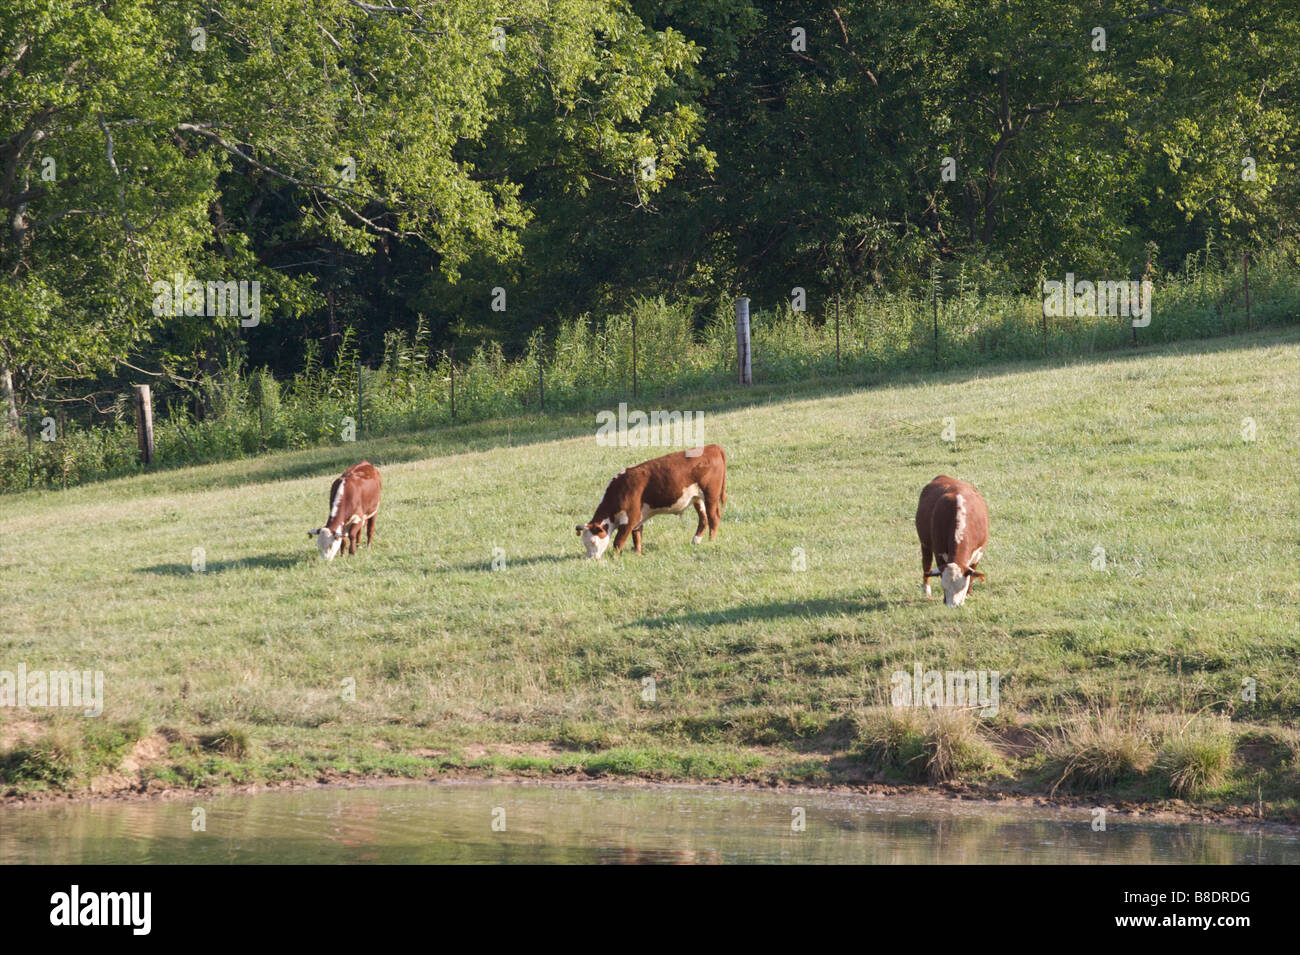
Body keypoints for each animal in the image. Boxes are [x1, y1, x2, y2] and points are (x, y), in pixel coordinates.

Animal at [576, 445, 727, 559]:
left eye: (593, 541)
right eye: (584, 542)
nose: (590, 559)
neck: (620, 489)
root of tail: (712, 447)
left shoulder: (630, 518)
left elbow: (618, 541)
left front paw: (614, 557)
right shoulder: (637, 519)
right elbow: (637, 537)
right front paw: (638, 554)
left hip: (711, 495)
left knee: (713, 517)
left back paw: (711, 541)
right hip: (697, 498)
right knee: (704, 519)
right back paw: (695, 541)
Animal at [915, 475, 988, 606]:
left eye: (962, 587)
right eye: (944, 587)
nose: (953, 606)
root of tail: (943, 476)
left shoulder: (979, 552)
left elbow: (972, 573)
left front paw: (969, 594)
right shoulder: (939, 552)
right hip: (925, 543)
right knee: (926, 564)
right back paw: (926, 590)